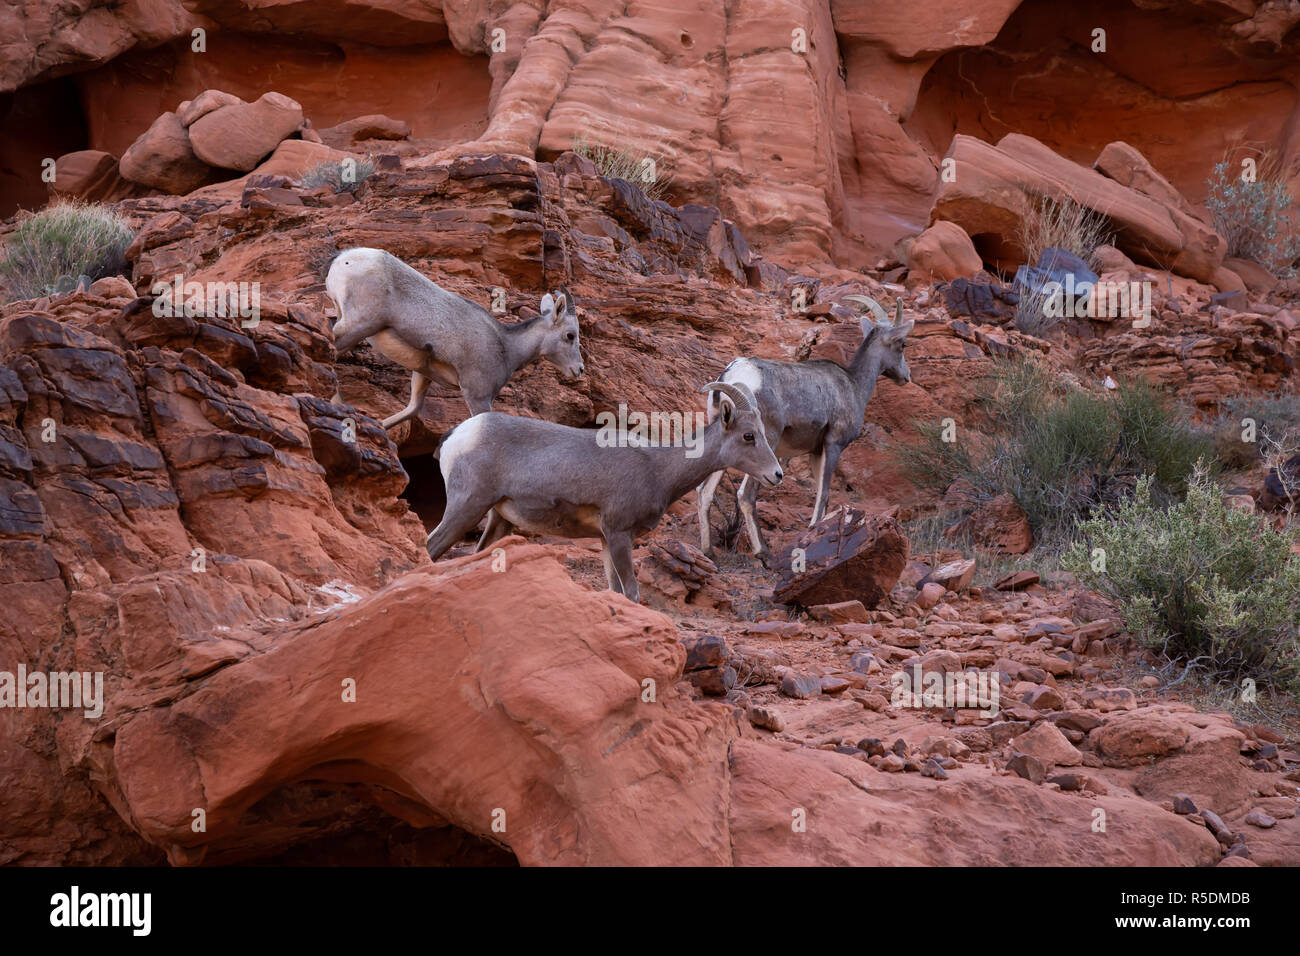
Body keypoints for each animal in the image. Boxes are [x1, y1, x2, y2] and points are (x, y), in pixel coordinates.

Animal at [324, 247, 583, 428]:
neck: (507, 347)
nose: (579, 370)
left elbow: (413, 408)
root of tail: (344, 259)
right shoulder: (477, 396)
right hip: (358, 324)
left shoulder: (423, 372)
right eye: (570, 335)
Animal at [425, 382, 782, 602]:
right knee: (431, 547)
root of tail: (457, 435)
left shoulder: (605, 540)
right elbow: (632, 593)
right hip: (466, 507)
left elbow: (616, 592)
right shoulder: (619, 534)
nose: (776, 475)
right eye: (748, 436)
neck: (658, 467)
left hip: (499, 519)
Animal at [696, 295, 914, 563]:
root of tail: (733, 376)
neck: (854, 385)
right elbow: (823, 494)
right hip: (765, 441)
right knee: (745, 495)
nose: (906, 376)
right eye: (902, 344)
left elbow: (822, 493)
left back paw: (708, 552)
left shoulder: (816, 452)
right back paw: (764, 555)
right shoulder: (833, 445)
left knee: (704, 492)